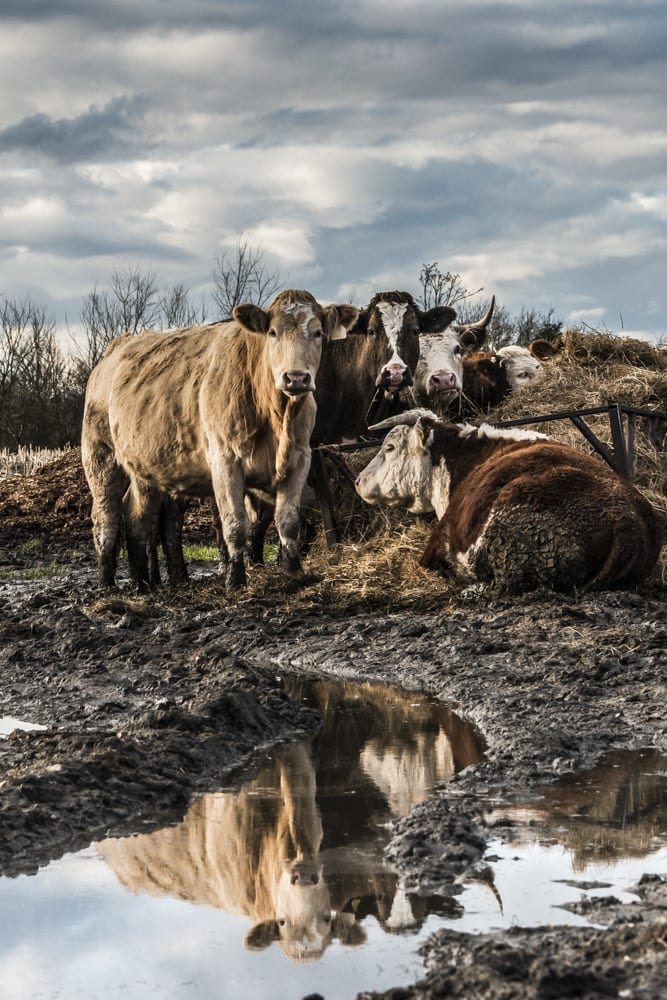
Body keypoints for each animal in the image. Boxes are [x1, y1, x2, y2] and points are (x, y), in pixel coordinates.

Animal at [81, 289, 359, 591]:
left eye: (318, 332)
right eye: (272, 332)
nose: (296, 378)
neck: (277, 416)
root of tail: (117, 348)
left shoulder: (300, 459)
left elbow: (288, 521)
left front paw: (294, 571)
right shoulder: (225, 461)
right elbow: (235, 525)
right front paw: (234, 581)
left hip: (145, 468)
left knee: (137, 518)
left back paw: (144, 583)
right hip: (101, 457)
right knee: (106, 519)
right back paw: (107, 583)